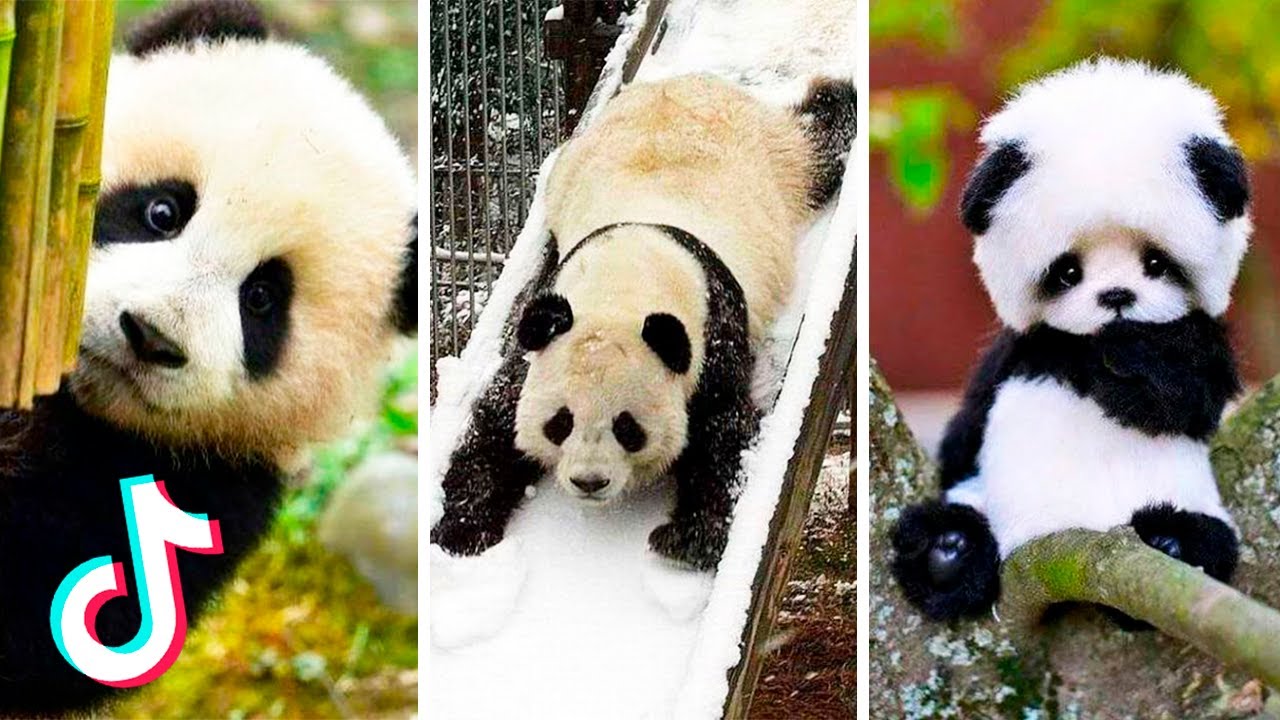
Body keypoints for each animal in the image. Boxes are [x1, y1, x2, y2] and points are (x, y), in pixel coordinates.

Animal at [432, 74, 855, 570]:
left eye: (626, 427)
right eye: (560, 422)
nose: (589, 482)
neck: (624, 282)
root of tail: (692, 82)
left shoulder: (711, 334)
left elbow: (724, 433)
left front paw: (687, 539)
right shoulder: (545, 332)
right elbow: (496, 421)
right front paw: (460, 530)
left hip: (774, 156)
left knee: (818, 144)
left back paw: (835, 94)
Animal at [890, 58, 1249, 622]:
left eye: (1155, 262)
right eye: (1067, 272)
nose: (1117, 296)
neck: (1085, 346)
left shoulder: (1202, 342)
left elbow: (1191, 396)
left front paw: (1137, 360)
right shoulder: (1019, 349)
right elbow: (965, 434)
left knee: (1211, 543)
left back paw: (1171, 542)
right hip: (986, 502)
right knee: (959, 517)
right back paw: (946, 550)